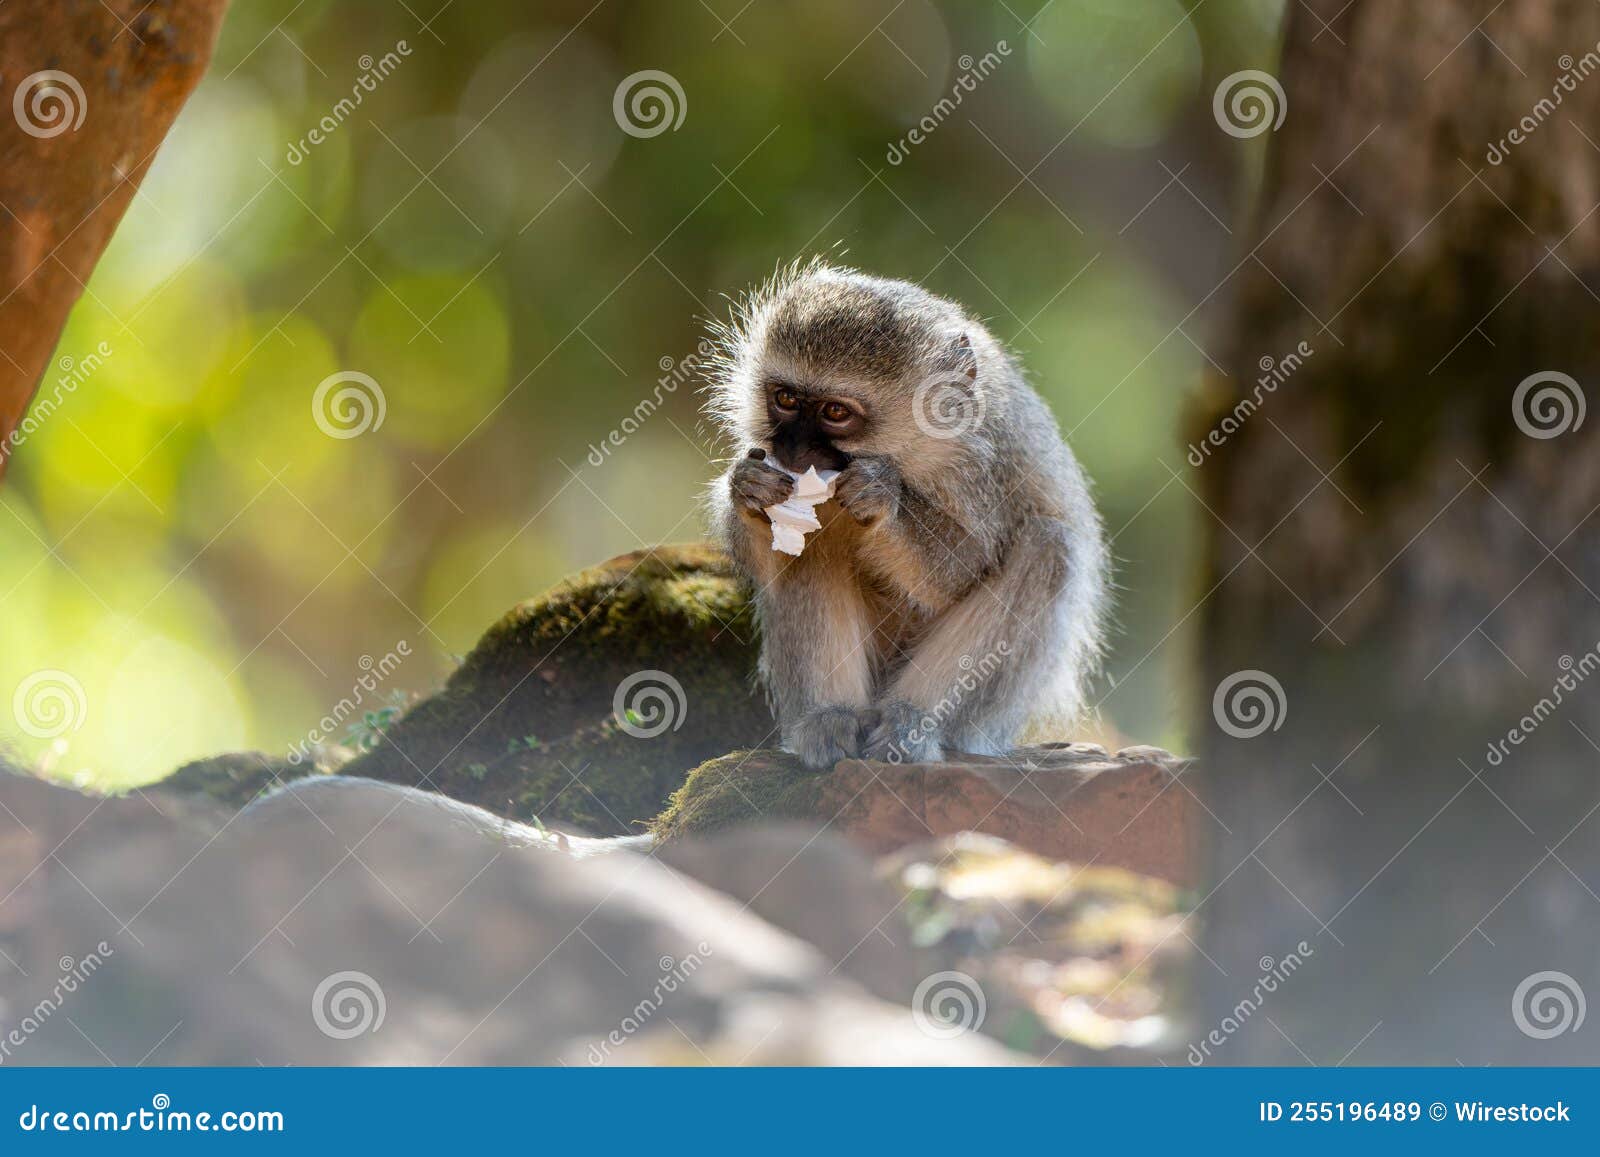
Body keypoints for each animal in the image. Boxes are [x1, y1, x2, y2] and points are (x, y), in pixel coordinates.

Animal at [703, 260, 1109, 769]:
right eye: (787, 400)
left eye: (835, 412)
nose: (792, 451)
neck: (906, 450)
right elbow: (770, 556)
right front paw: (747, 487)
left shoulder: (978, 468)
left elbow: (960, 572)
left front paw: (884, 497)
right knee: (821, 537)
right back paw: (830, 718)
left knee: (1047, 545)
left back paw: (911, 723)